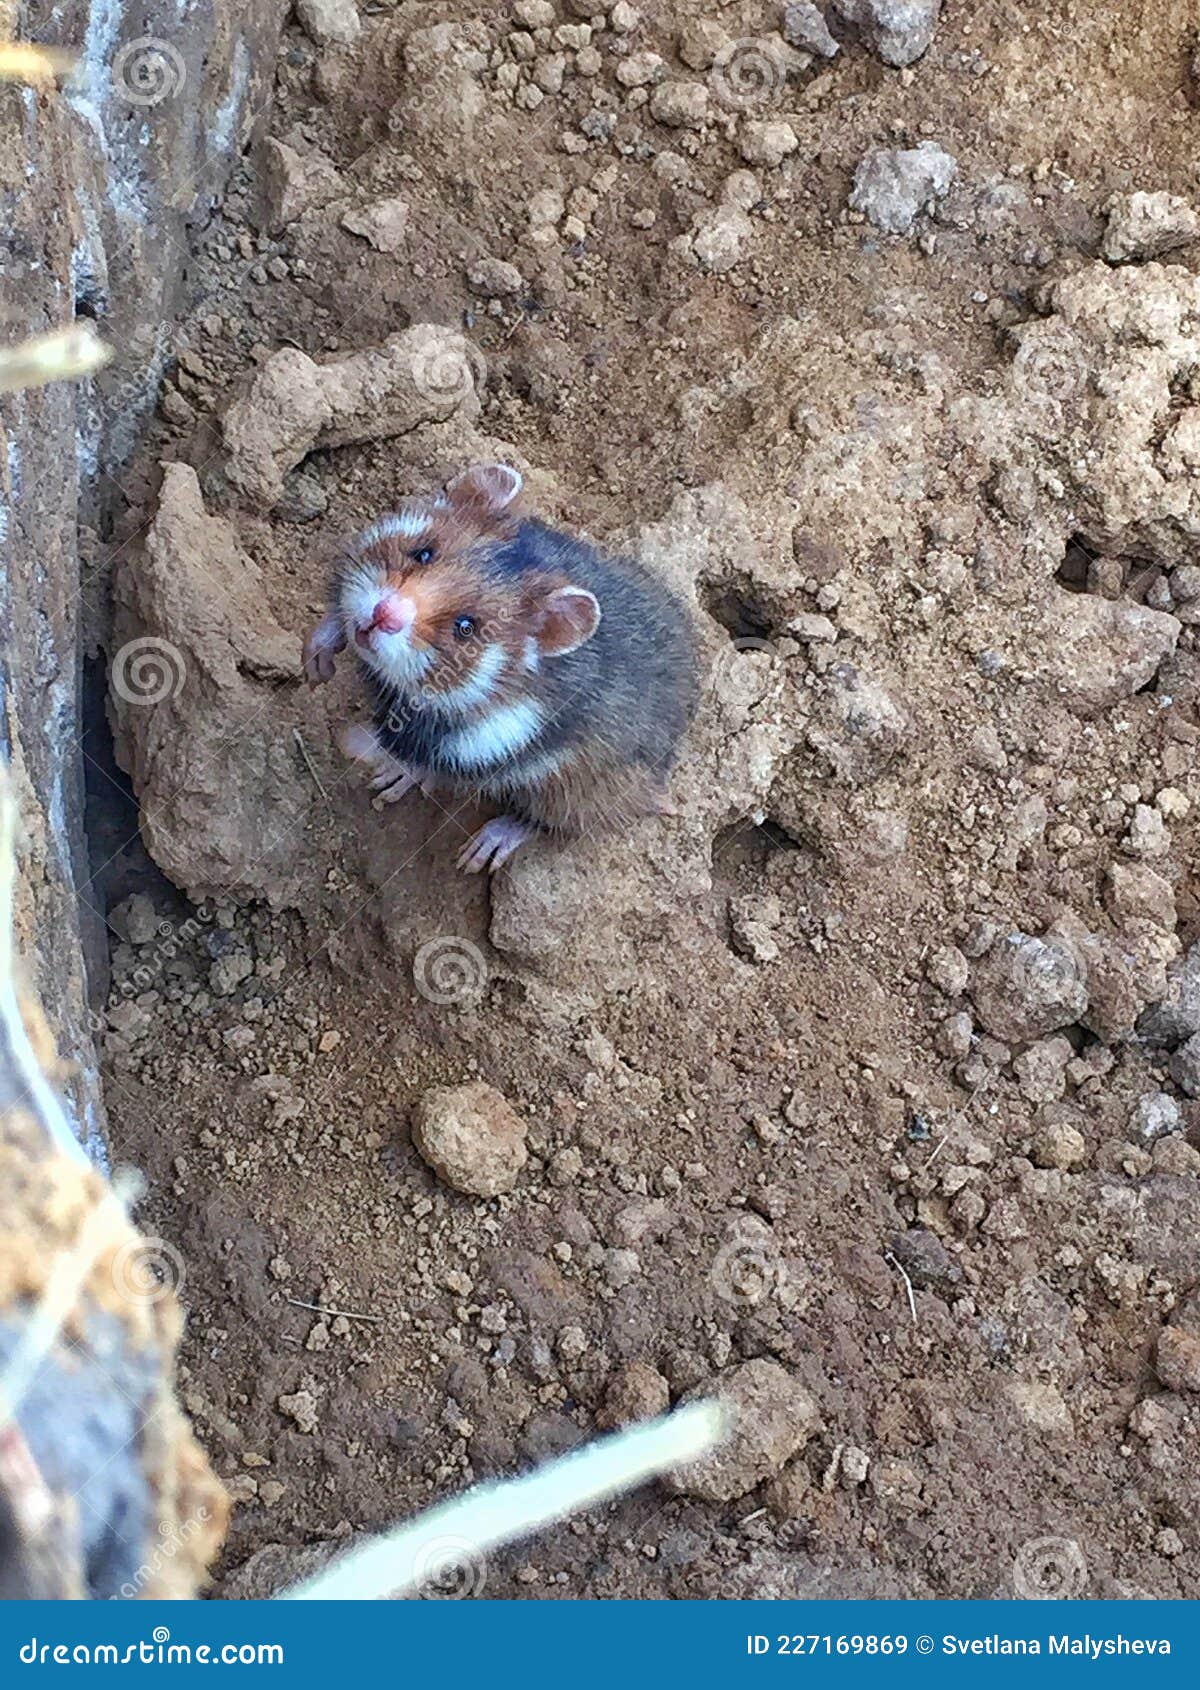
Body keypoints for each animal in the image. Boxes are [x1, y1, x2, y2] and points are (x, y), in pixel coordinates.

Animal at [304, 462, 697, 872]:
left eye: (466, 627)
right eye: (424, 553)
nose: (385, 615)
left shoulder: (485, 745)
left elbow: (421, 758)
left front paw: (352, 742)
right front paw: (316, 663)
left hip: (577, 793)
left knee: (550, 822)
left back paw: (481, 846)